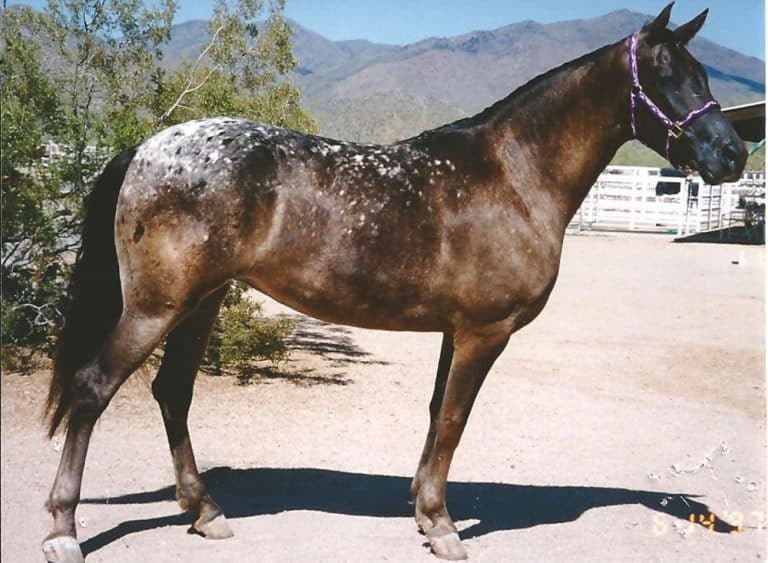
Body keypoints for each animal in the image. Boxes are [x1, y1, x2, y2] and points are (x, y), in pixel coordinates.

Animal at [41, 4, 746, 561]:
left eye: (706, 77)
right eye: (665, 76)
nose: (733, 152)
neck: (514, 175)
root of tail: (147, 148)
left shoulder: (454, 332)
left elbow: (437, 415)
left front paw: (422, 511)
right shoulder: (484, 333)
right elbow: (456, 418)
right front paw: (443, 526)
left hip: (201, 303)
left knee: (172, 392)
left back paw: (206, 512)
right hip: (158, 307)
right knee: (93, 388)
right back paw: (63, 530)